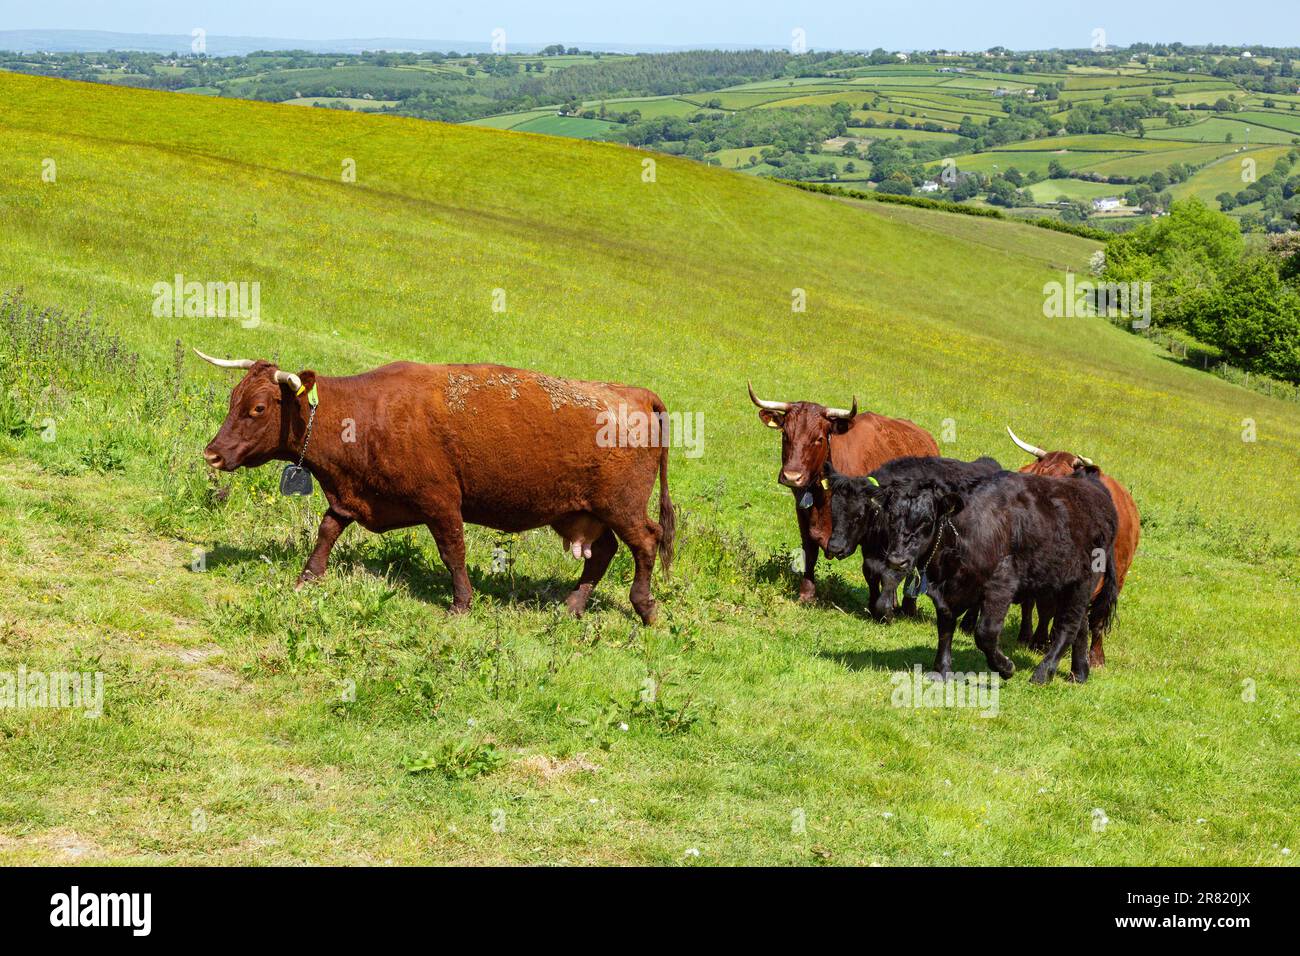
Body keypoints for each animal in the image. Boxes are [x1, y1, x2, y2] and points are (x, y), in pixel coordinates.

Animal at [195, 349, 675, 624]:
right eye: (234, 398)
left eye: (258, 408)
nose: (212, 454)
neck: (365, 415)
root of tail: (637, 393)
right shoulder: (351, 495)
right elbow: (327, 530)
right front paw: (307, 578)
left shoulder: (441, 500)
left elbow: (452, 551)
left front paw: (461, 603)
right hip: (584, 511)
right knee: (604, 552)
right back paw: (573, 606)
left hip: (622, 506)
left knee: (646, 543)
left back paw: (645, 608)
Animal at [747, 382, 939, 612]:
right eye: (785, 435)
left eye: (819, 439)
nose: (792, 477)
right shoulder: (803, 514)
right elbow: (809, 553)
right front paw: (807, 594)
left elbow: (872, 568)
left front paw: (877, 605)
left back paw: (908, 606)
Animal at [823, 455, 1003, 621]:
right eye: (832, 509)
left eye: (859, 515)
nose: (834, 547)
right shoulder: (873, 554)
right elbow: (871, 574)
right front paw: (876, 607)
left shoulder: (904, 555)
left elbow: (889, 577)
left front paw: (885, 612)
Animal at [832, 466, 1119, 684]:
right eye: (891, 518)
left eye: (927, 521)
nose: (897, 560)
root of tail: (1093, 488)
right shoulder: (945, 591)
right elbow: (945, 627)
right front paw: (942, 670)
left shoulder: (1001, 585)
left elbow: (985, 633)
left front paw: (1005, 667)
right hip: (1059, 583)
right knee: (1080, 625)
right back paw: (1079, 673)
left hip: (1083, 581)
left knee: (1067, 626)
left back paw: (1042, 673)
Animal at [1007, 427, 1140, 667]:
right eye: (1037, 475)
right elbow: (1045, 608)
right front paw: (1040, 642)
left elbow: (1096, 618)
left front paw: (1096, 658)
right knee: (1031, 604)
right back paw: (1028, 636)